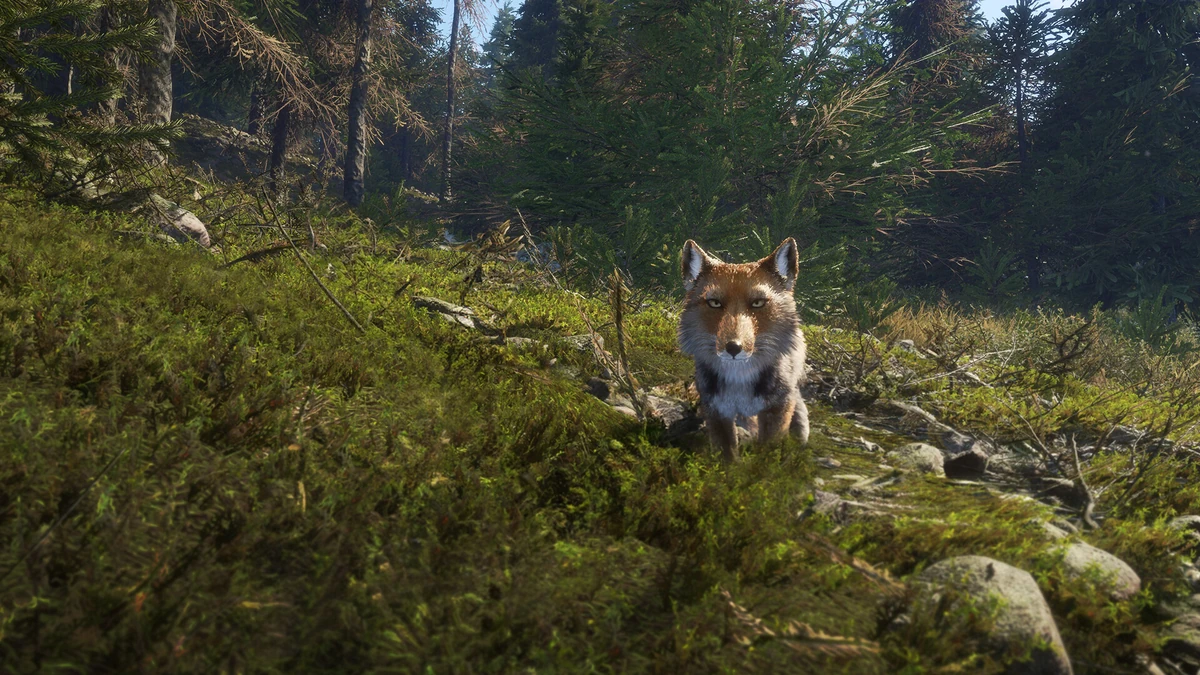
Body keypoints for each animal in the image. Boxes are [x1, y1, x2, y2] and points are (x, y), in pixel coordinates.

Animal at [678, 238, 809, 462]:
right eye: (714, 303)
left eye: (757, 303)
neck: (739, 382)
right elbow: (727, 457)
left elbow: (766, 455)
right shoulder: (716, 409)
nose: (733, 347)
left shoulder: (778, 408)